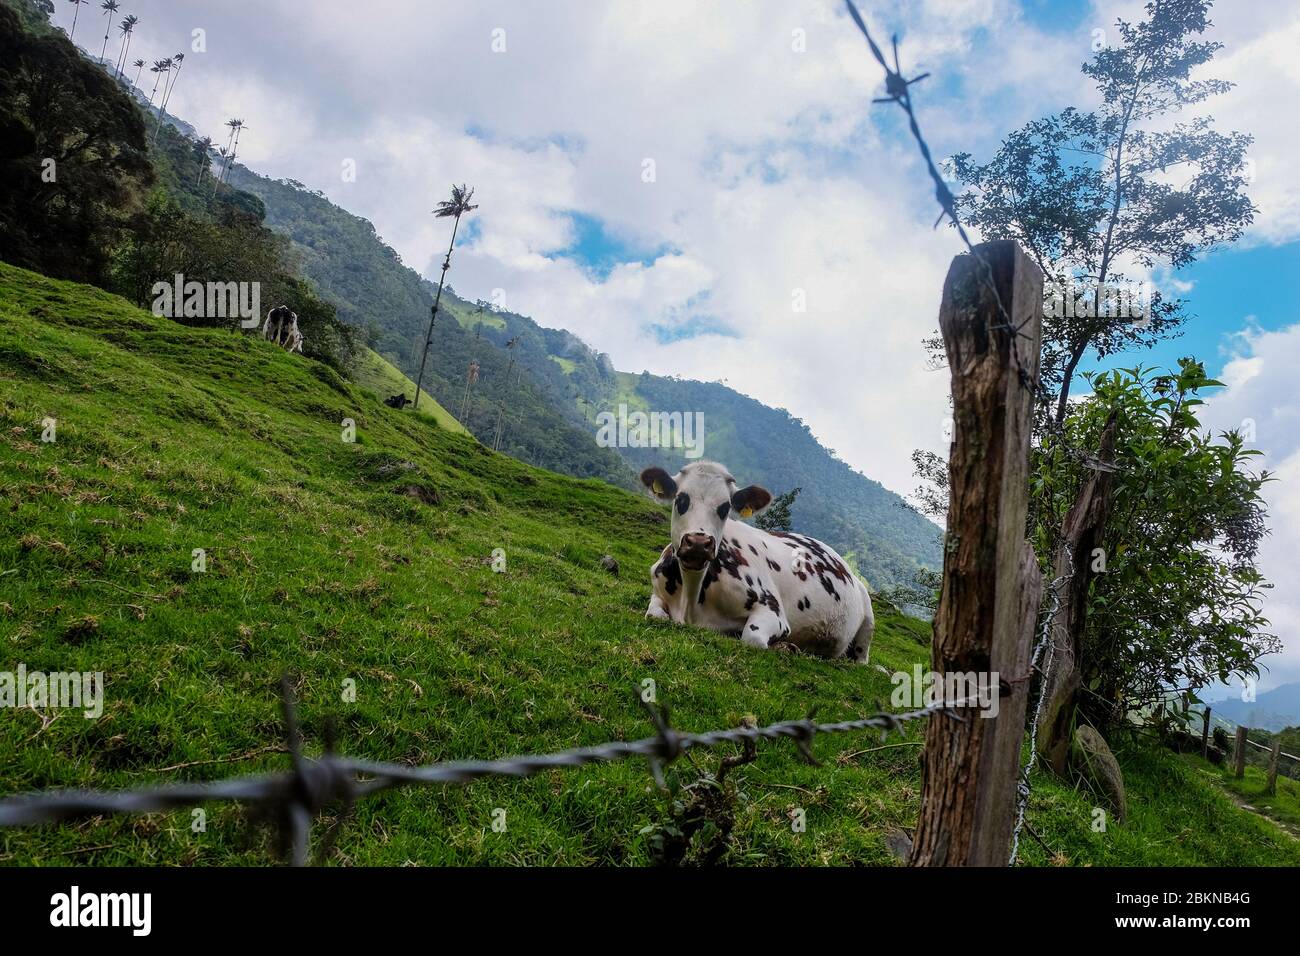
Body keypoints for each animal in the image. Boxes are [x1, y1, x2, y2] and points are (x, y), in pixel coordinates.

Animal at [641, 461, 874, 663]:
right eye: (681, 499)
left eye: (725, 508)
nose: (699, 542)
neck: (691, 601)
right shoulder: (657, 592)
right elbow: (654, 615)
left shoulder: (772, 611)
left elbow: (751, 637)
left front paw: (784, 646)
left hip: (868, 619)